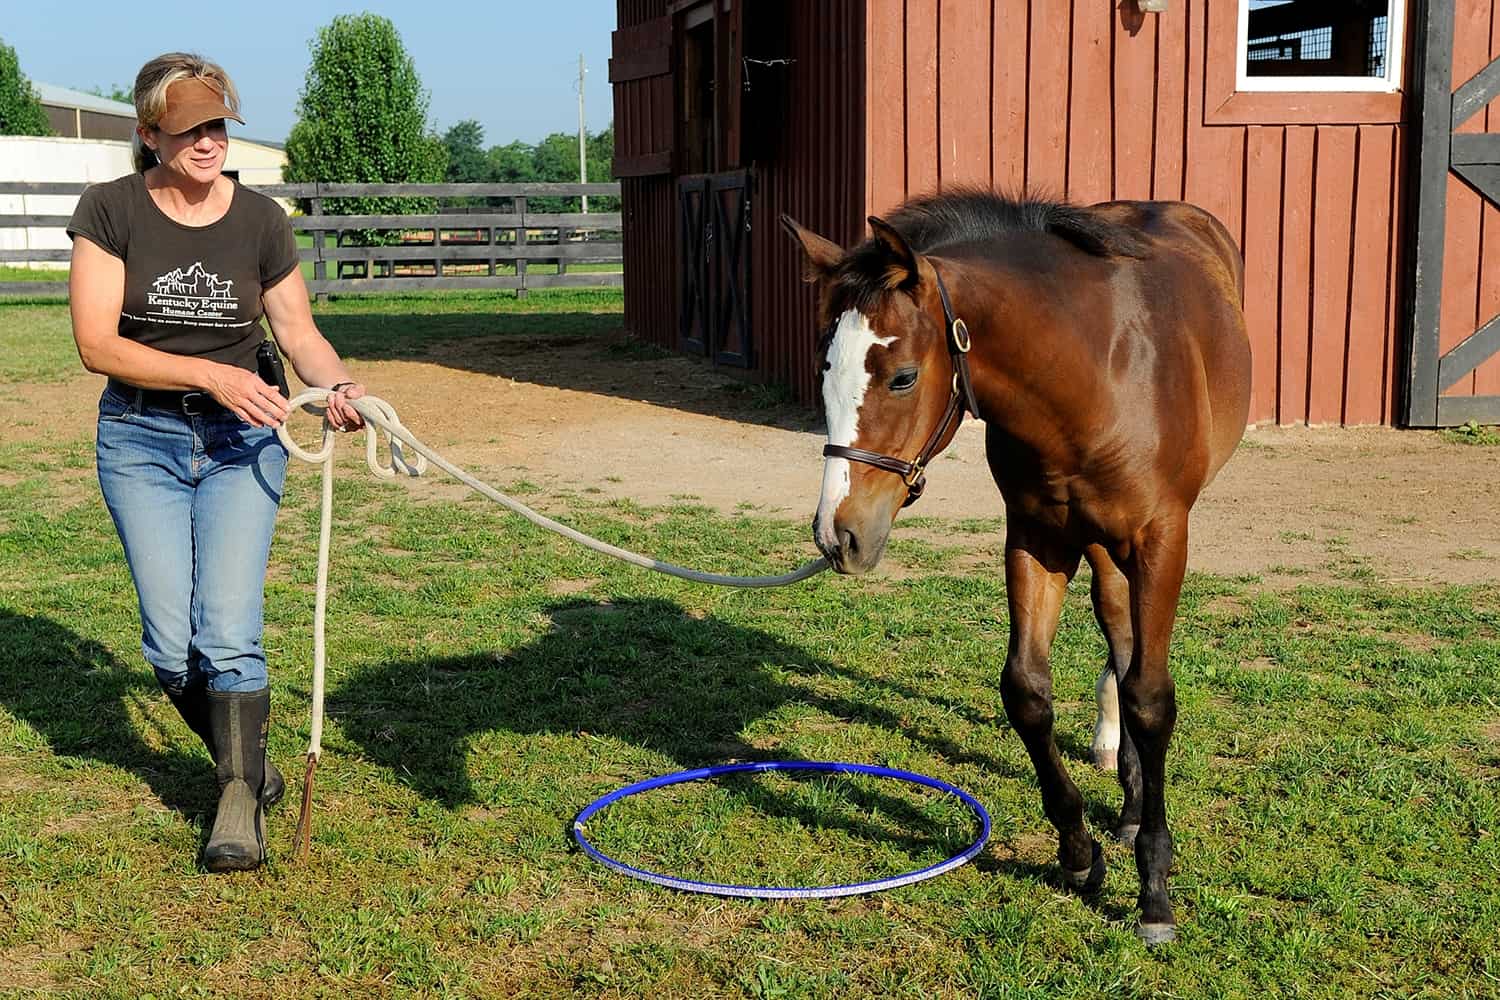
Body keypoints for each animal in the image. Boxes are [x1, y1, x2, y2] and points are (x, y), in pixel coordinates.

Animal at [783, 190, 1251, 944]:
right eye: (824, 372)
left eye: (903, 376)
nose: (838, 535)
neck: (1098, 371)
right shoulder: (1037, 537)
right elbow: (1027, 691)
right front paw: (1080, 850)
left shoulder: (1161, 540)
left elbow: (1152, 698)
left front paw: (1154, 889)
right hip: (1095, 542)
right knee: (1117, 627)